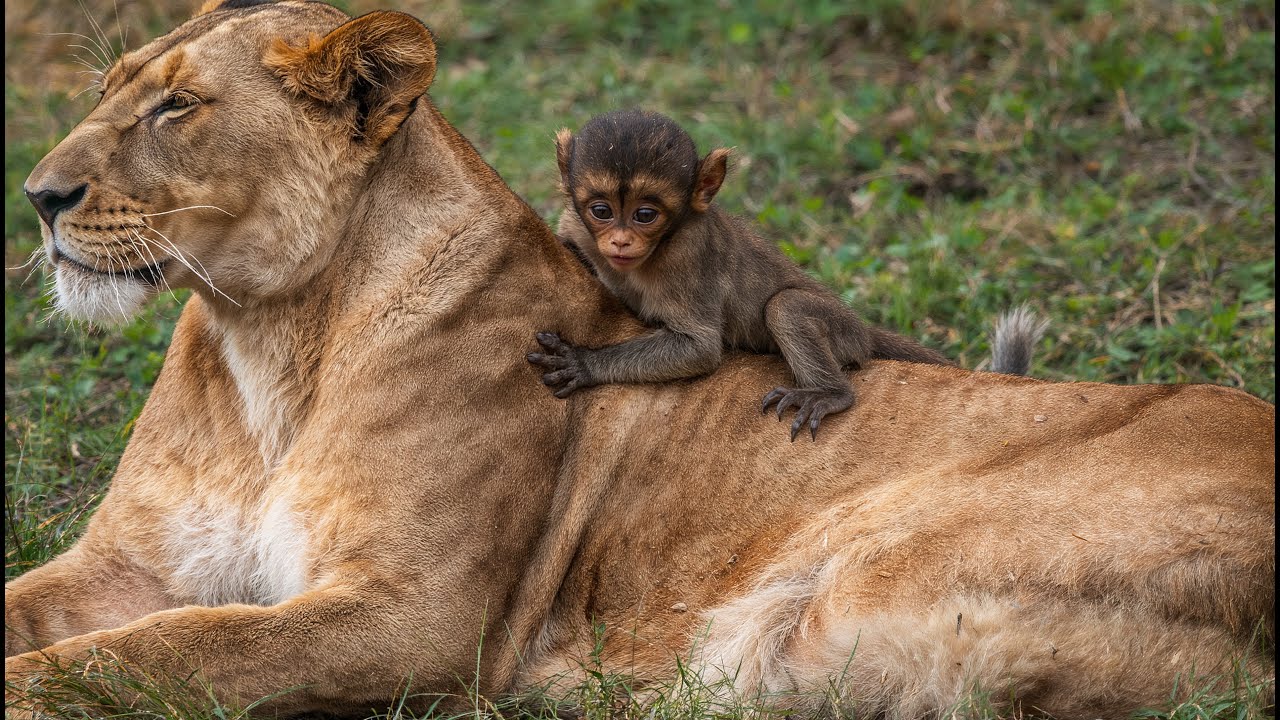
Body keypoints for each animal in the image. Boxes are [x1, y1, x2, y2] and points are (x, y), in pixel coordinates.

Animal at [527, 109, 953, 441]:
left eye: (645, 215)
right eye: (601, 211)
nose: (619, 241)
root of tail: (863, 331)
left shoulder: (687, 255)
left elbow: (700, 348)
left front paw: (584, 363)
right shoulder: (576, 223)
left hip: (843, 332)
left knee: (786, 306)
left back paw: (831, 393)